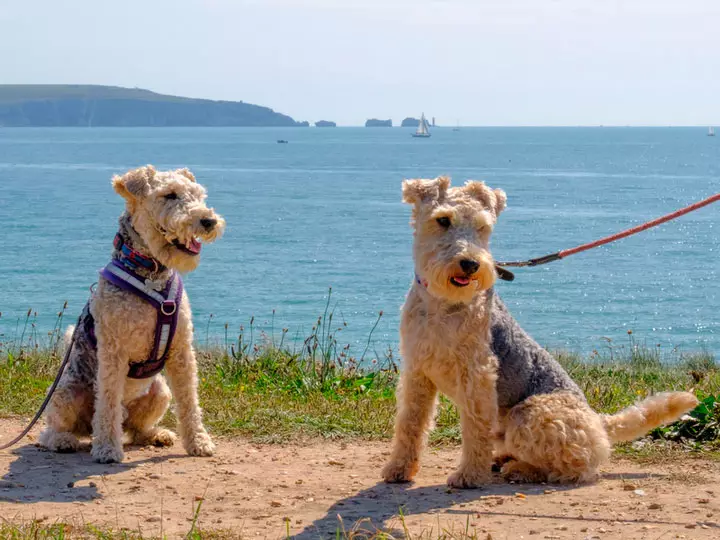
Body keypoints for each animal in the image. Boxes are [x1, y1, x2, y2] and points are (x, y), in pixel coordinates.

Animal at [39, 166, 225, 464]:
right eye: (169, 195)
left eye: (198, 194)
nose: (208, 220)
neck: (151, 275)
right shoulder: (114, 351)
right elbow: (108, 402)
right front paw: (106, 449)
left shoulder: (182, 349)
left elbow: (189, 400)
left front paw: (199, 441)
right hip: (65, 393)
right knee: (52, 430)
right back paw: (64, 440)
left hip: (160, 391)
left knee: (136, 429)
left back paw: (157, 435)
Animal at [382, 176, 696, 486]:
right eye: (443, 220)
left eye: (483, 226)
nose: (471, 264)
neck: (441, 303)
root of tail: (598, 420)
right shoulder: (417, 370)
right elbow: (410, 423)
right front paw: (398, 469)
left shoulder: (478, 374)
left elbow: (475, 429)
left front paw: (469, 475)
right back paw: (505, 460)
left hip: (530, 413)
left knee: (575, 467)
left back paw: (520, 470)